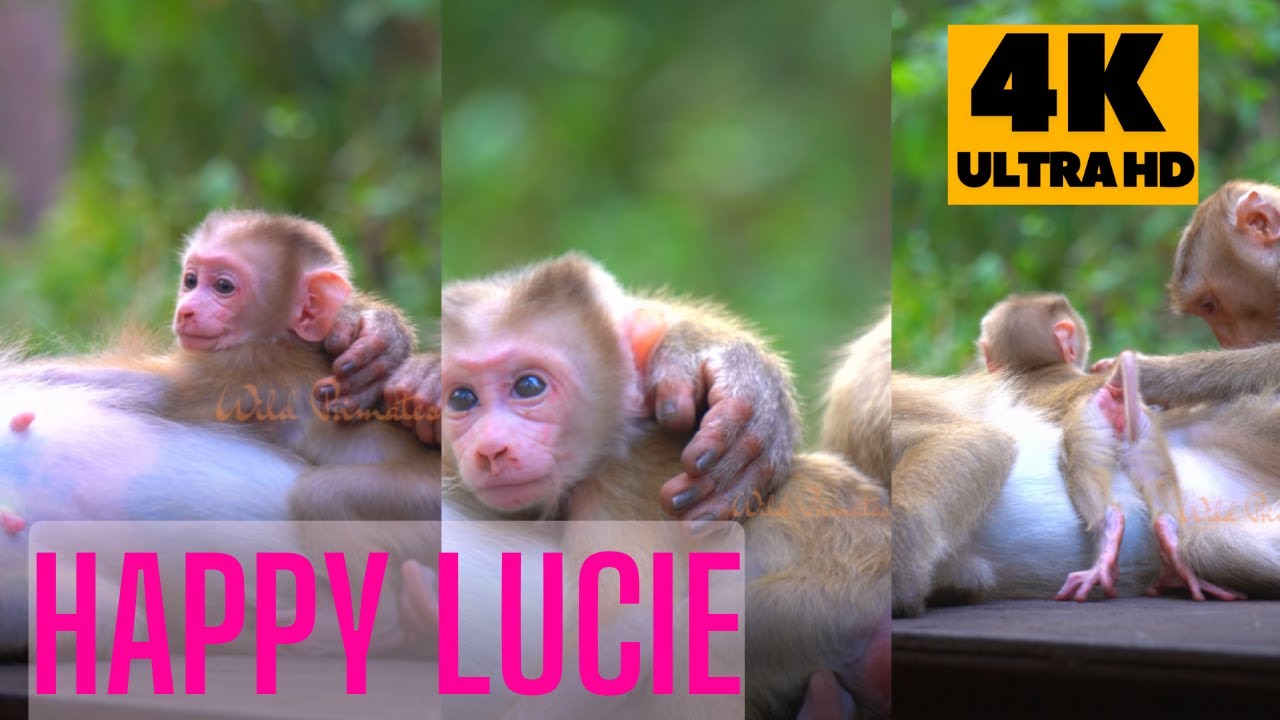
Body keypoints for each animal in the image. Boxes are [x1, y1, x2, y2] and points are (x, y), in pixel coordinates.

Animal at [976, 293, 1237, 602]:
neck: (1038, 369)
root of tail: (1110, 388)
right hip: (1141, 430)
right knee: (1152, 476)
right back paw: (1170, 547)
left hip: (1091, 419)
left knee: (1079, 464)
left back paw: (1109, 532)